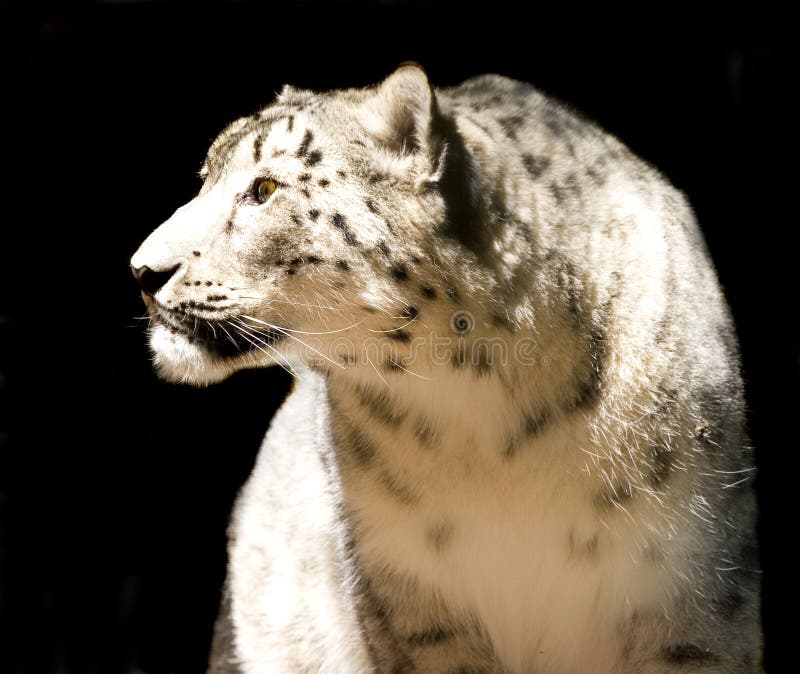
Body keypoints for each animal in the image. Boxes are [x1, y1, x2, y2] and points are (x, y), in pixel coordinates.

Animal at [131, 64, 762, 673]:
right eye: (204, 176)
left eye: (264, 189)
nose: (141, 270)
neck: (492, 420)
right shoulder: (411, 606)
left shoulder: (692, 596)